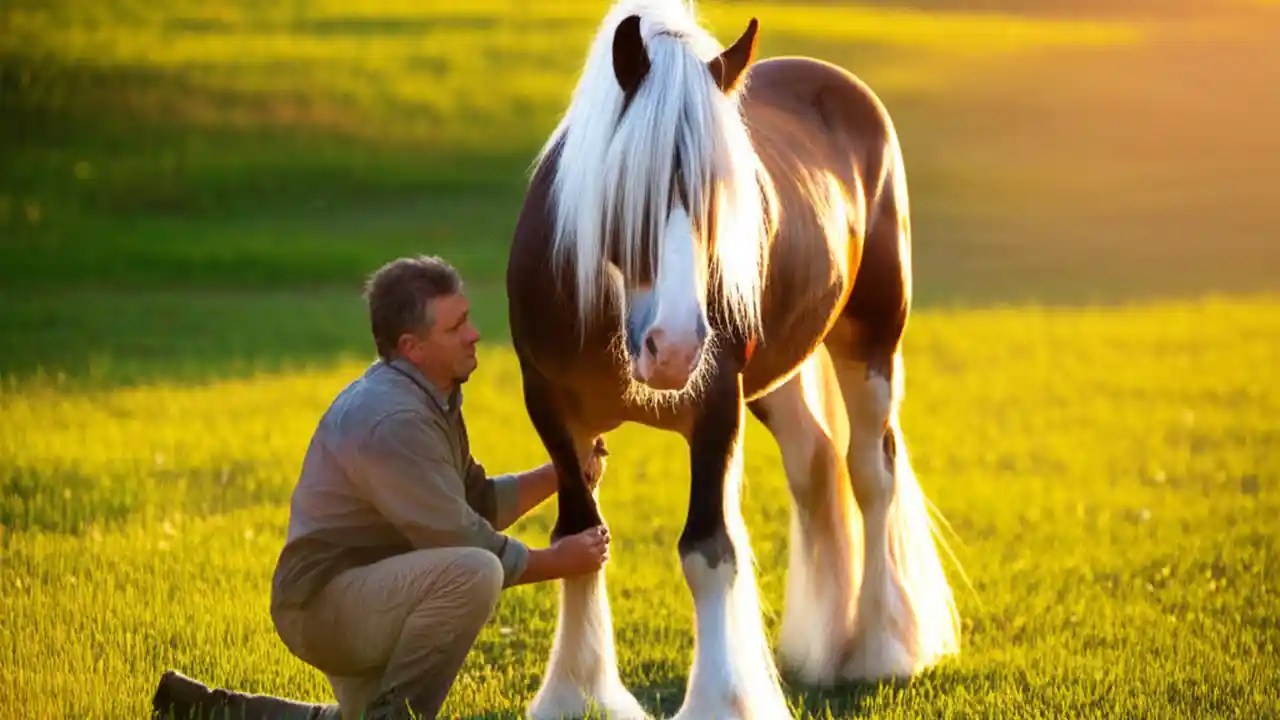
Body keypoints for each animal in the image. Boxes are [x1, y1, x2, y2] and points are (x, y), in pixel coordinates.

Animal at [505, 1, 960, 717]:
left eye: (721, 198)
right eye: (625, 190)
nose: (674, 349)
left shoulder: (716, 405)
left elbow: (707, 552)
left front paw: (719, 699)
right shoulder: (551, 406)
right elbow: (578, 538)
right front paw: (578, 695)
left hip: (872, 340)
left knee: (871, 471)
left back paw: (878, 649)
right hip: (776, 379)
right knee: (816, 464)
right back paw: (826, 651)